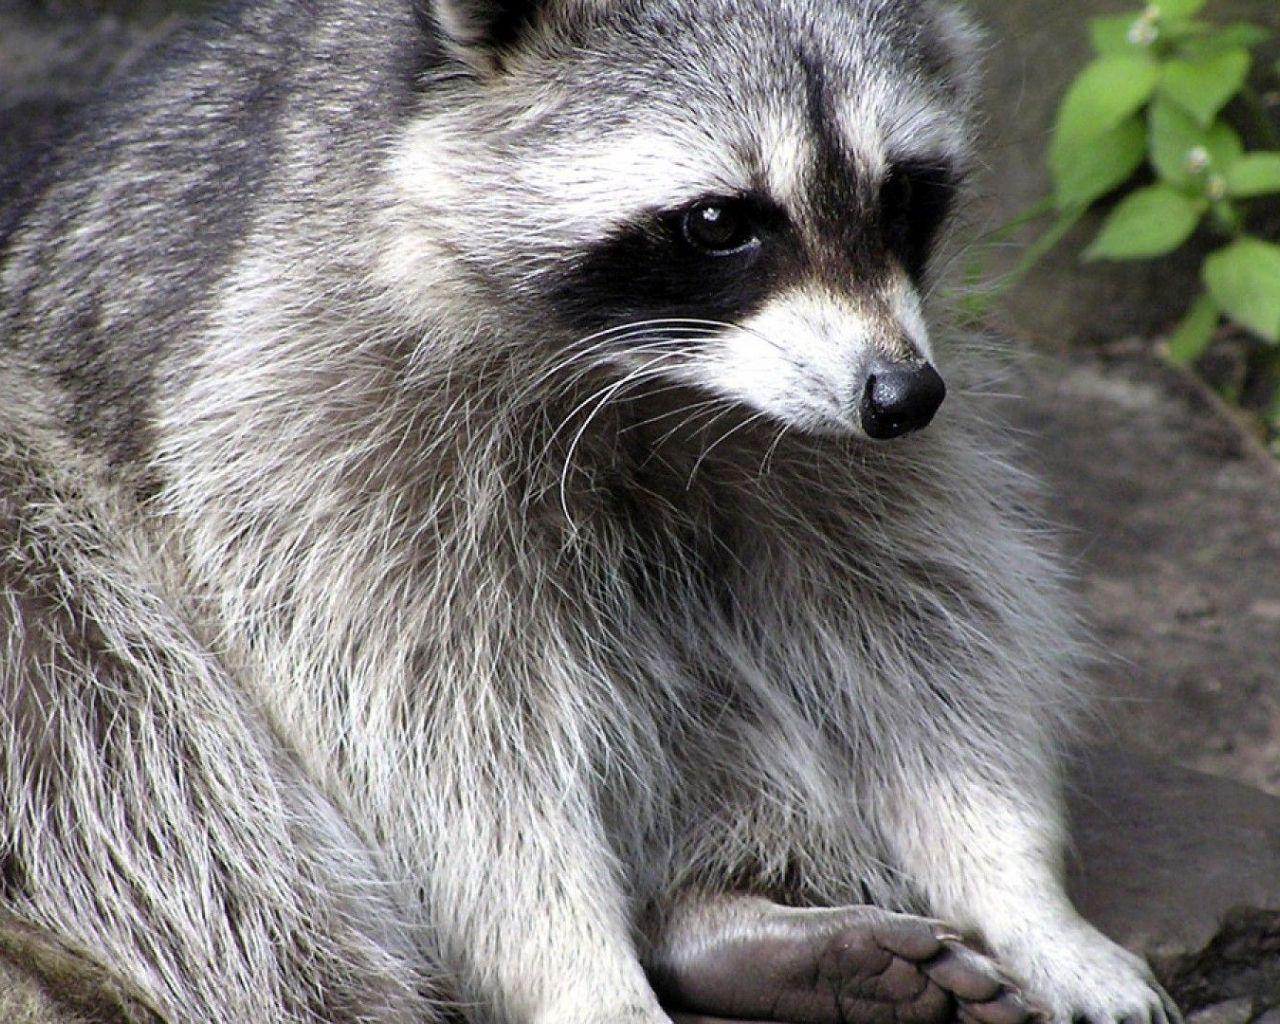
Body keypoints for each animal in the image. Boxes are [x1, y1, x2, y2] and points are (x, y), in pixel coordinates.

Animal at [0, 1, 1180, 1023]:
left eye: (901, 193)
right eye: (718, 221)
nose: (902, 400)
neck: (656, 379)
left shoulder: (848, 438)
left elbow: (916, 624)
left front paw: (1017, 886)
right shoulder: (308, 403)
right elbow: (433, 730)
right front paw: (572, 966)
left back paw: (714, 913)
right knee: (125, 728)